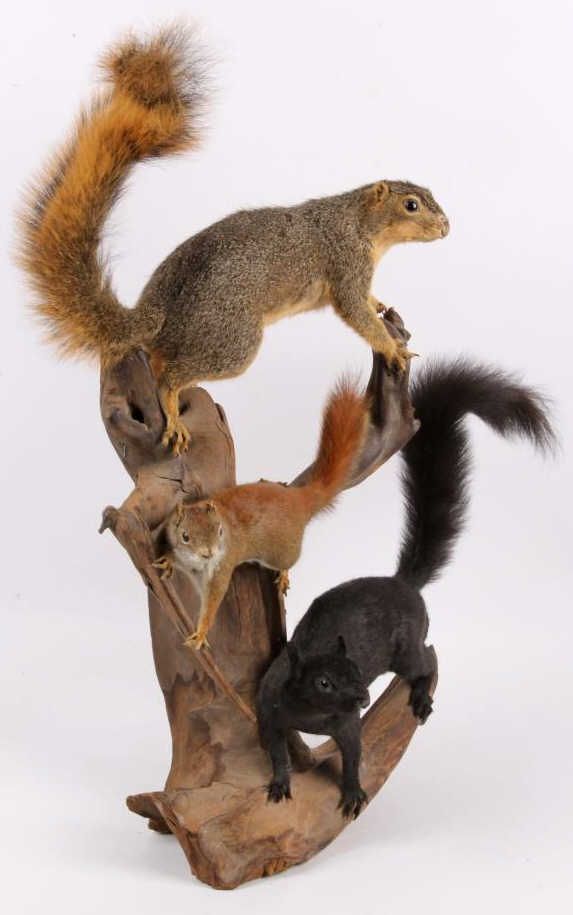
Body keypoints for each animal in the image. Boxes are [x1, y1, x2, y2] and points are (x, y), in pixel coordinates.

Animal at [17, 24, 449, 454]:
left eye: (429, 193)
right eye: (411, 205)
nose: (446, 227)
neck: (361, 222)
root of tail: (158, 313)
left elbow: (364, 303)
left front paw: (380, 304)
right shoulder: (345, 261)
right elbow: (354, 311)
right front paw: (391, 346)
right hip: (234, 339)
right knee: (170, 376)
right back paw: (172, 409)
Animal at [157, 378, 368, 647]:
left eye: (219, 531)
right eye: (185, 536)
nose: (208, 553)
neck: (195, 564)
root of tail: (299, 500)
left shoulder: (221, 570)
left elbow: (212, 605)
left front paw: (201, 633)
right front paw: (166, 560)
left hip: (282, 552)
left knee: (288, 561)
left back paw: (284, 575)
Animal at [256, 359, 554, 819]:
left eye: (356, 669)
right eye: (324, 682)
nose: (362, 697)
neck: (311, 714)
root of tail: (403, 585)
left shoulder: (347, 725)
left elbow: (354, 754)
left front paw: (352, 791)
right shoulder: (271, 711)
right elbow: (276, 751)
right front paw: (280, 781)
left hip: (407, 649)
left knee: (426, 660)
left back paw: (421, 696)